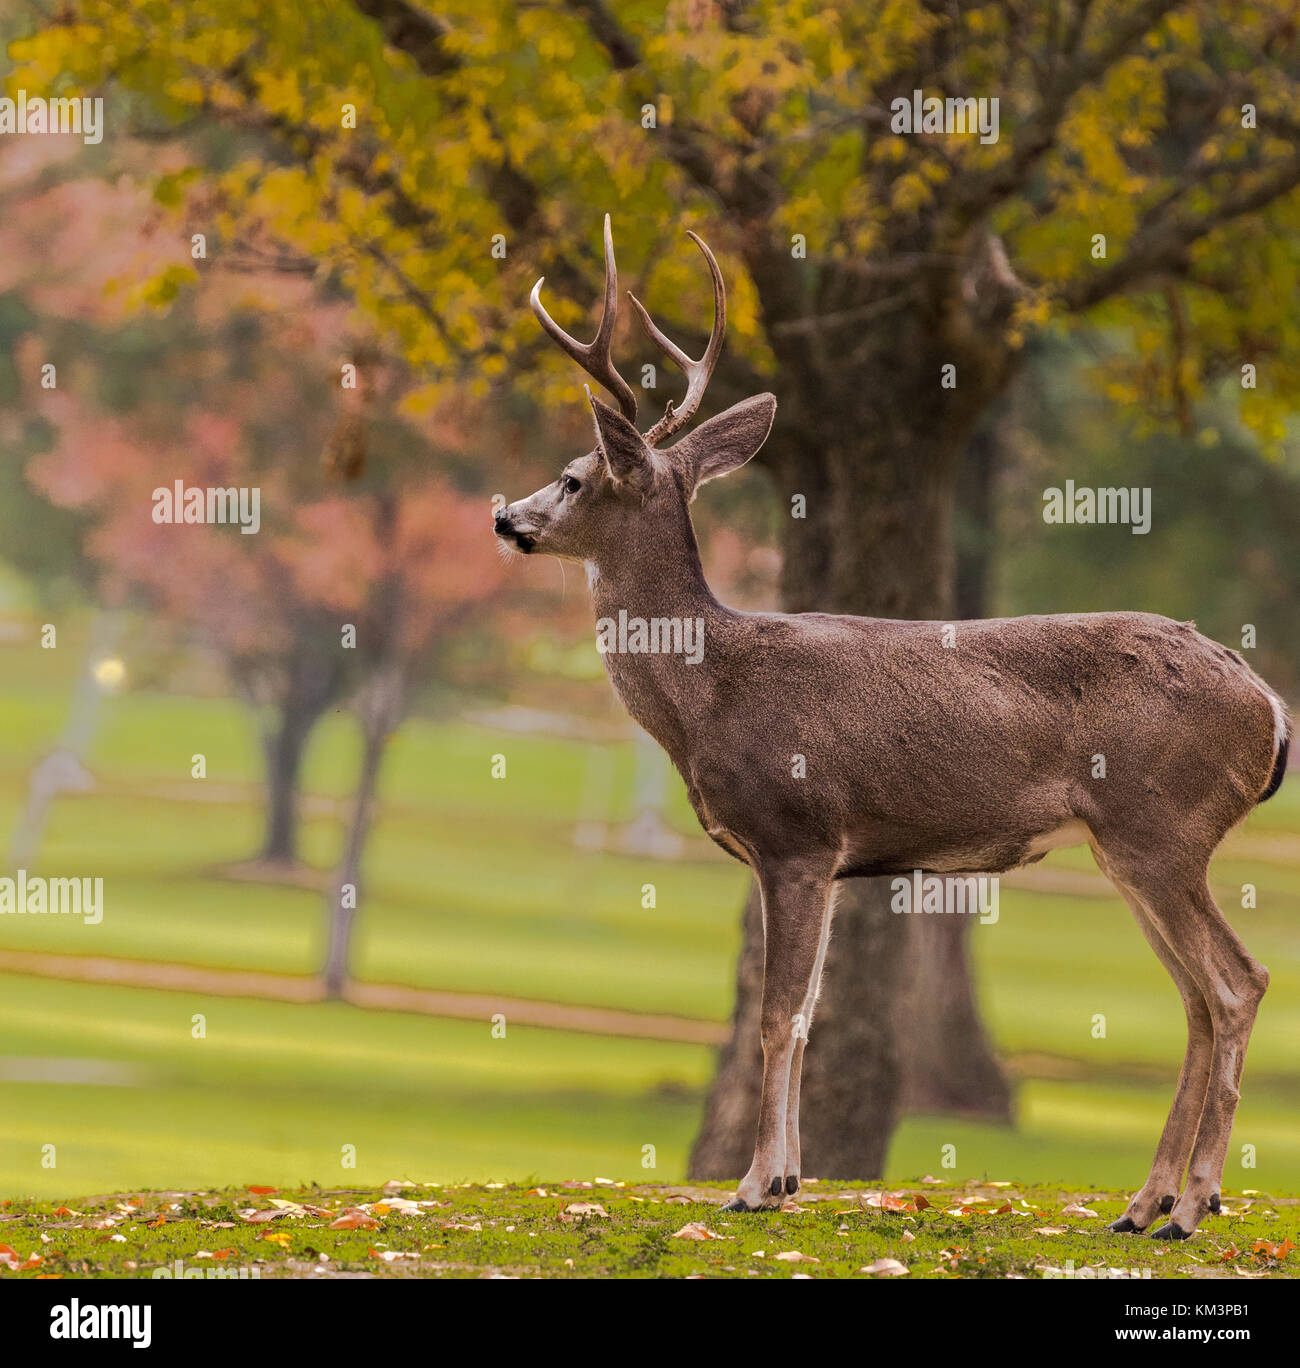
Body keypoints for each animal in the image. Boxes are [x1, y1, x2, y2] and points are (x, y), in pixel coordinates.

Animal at [494, 215, 1292, 1238]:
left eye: (572, 477)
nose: (504, 516)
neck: (709, 690)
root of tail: (1272, 708)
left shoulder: (795, 833)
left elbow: (778, 1014)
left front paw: (753, 1185)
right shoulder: (831, 859)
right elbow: (811, 1011)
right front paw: (791, 1179)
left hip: (1161, 827)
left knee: (1237, 983)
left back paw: (1190, 1206)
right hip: (1135, 847)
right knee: (1197, 995)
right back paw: (1143, 1203)